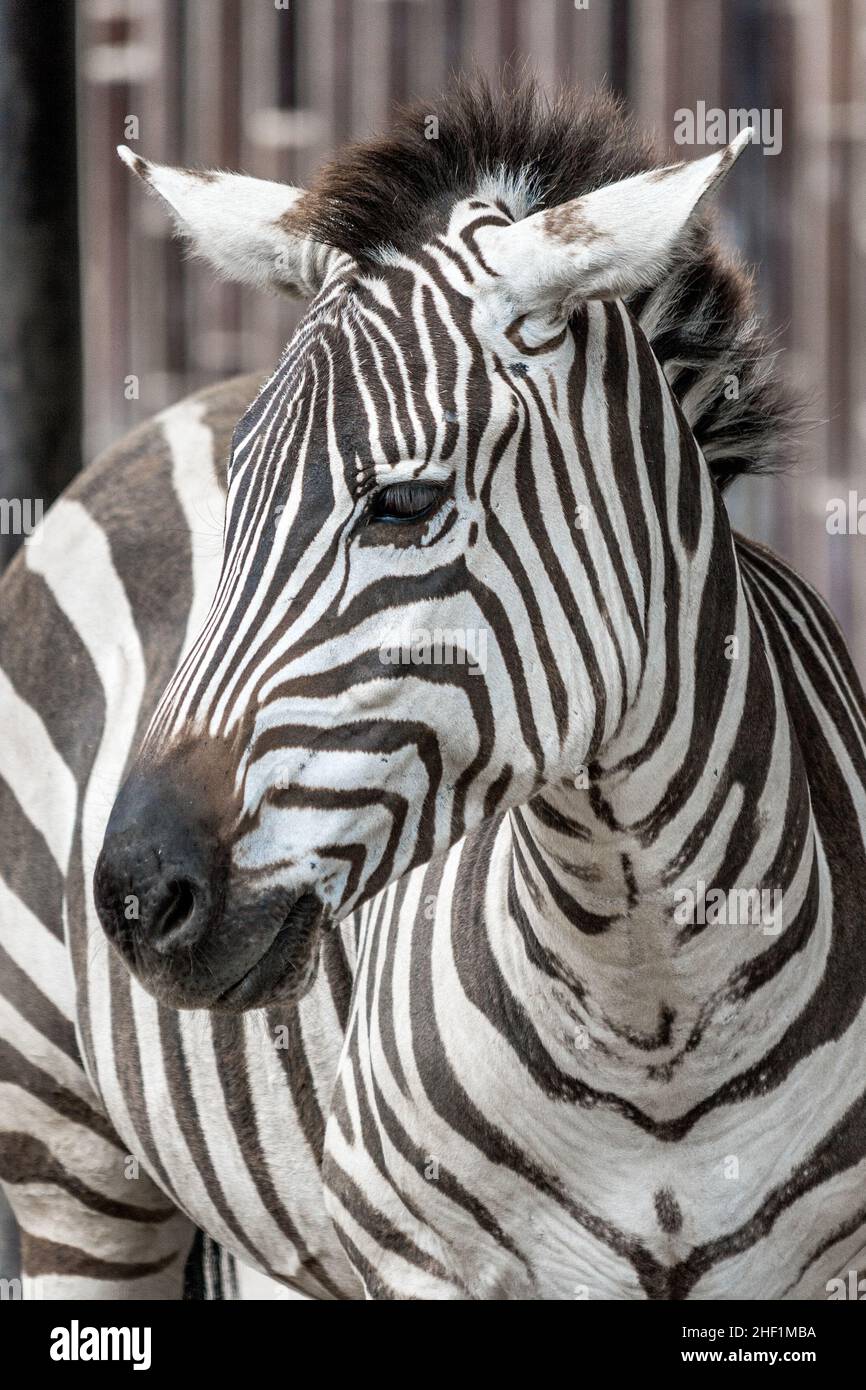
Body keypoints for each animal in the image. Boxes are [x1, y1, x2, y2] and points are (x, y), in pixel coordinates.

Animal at [1, 76, 865, 1300]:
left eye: (403, 503)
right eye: (237, 497)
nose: (132, 897)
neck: (651, 998)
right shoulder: (416, 1256)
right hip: (67, 1163)